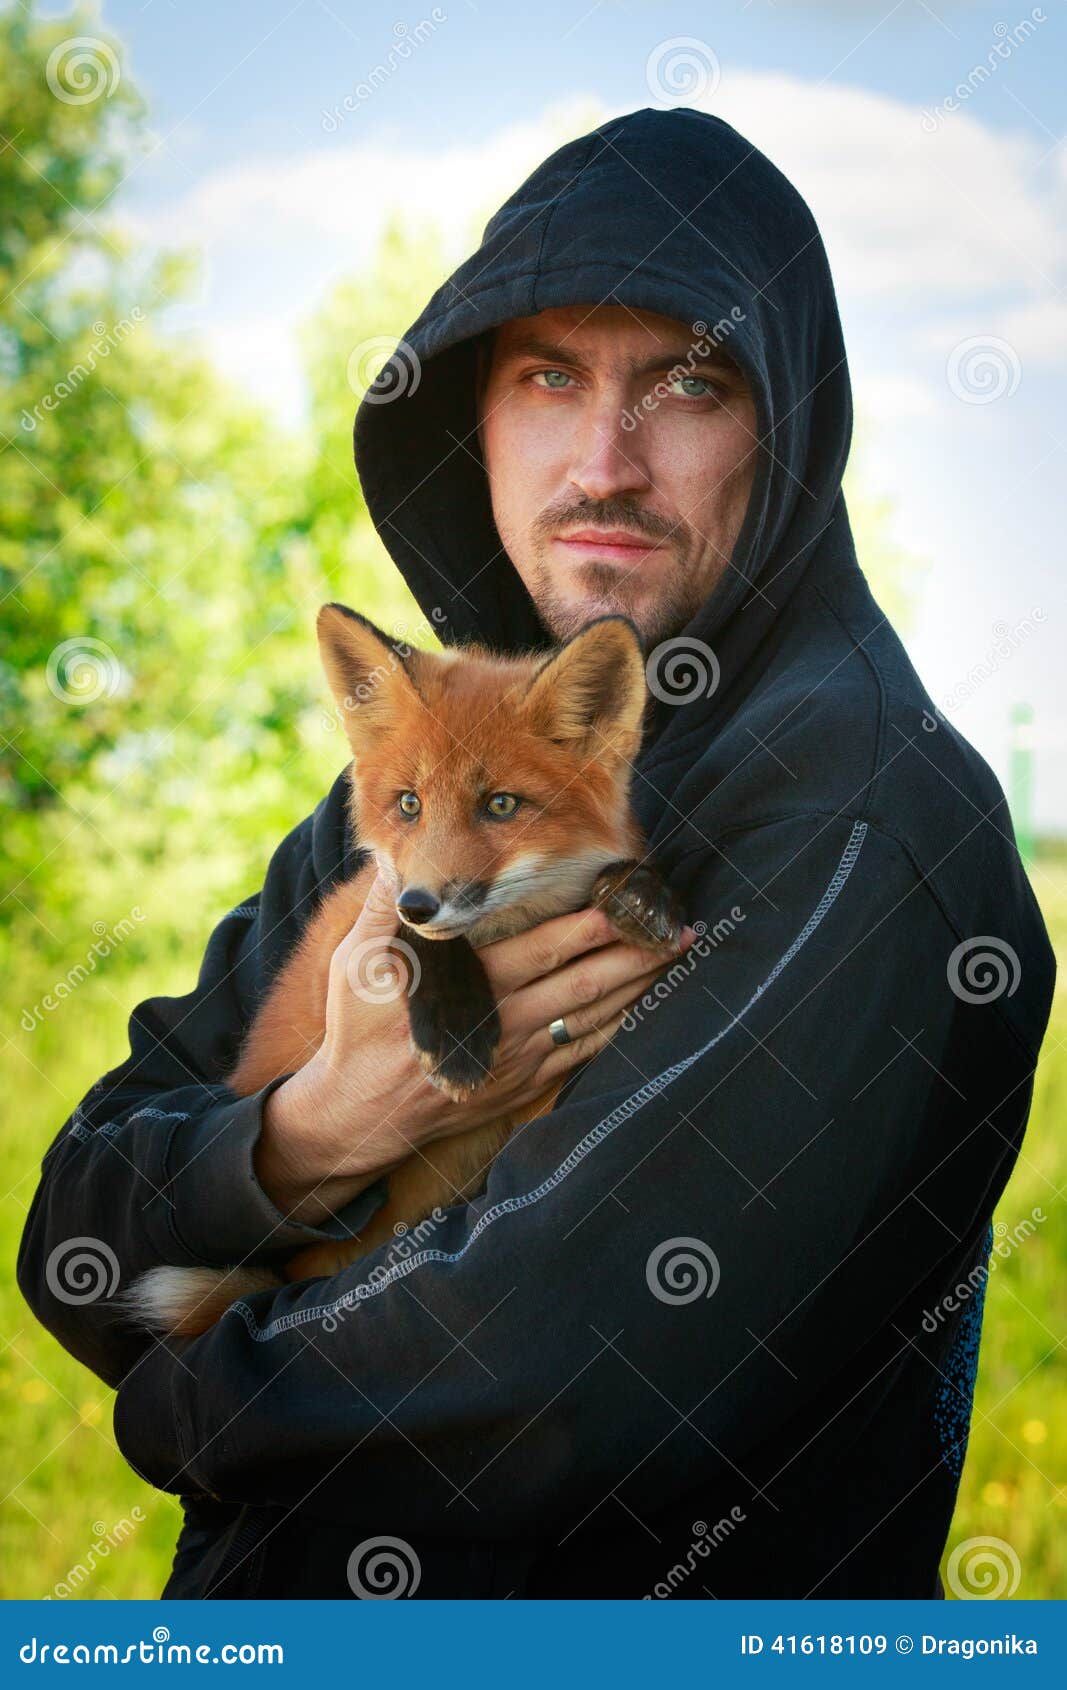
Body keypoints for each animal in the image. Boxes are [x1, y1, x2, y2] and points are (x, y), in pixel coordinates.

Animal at [121, 603, 687, 1339]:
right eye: (409, 804)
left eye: (500, 805)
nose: (420, 902)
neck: (508, 928)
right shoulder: (359, 928)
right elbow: (412, 943)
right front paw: (455, 1031)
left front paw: (641, 897)